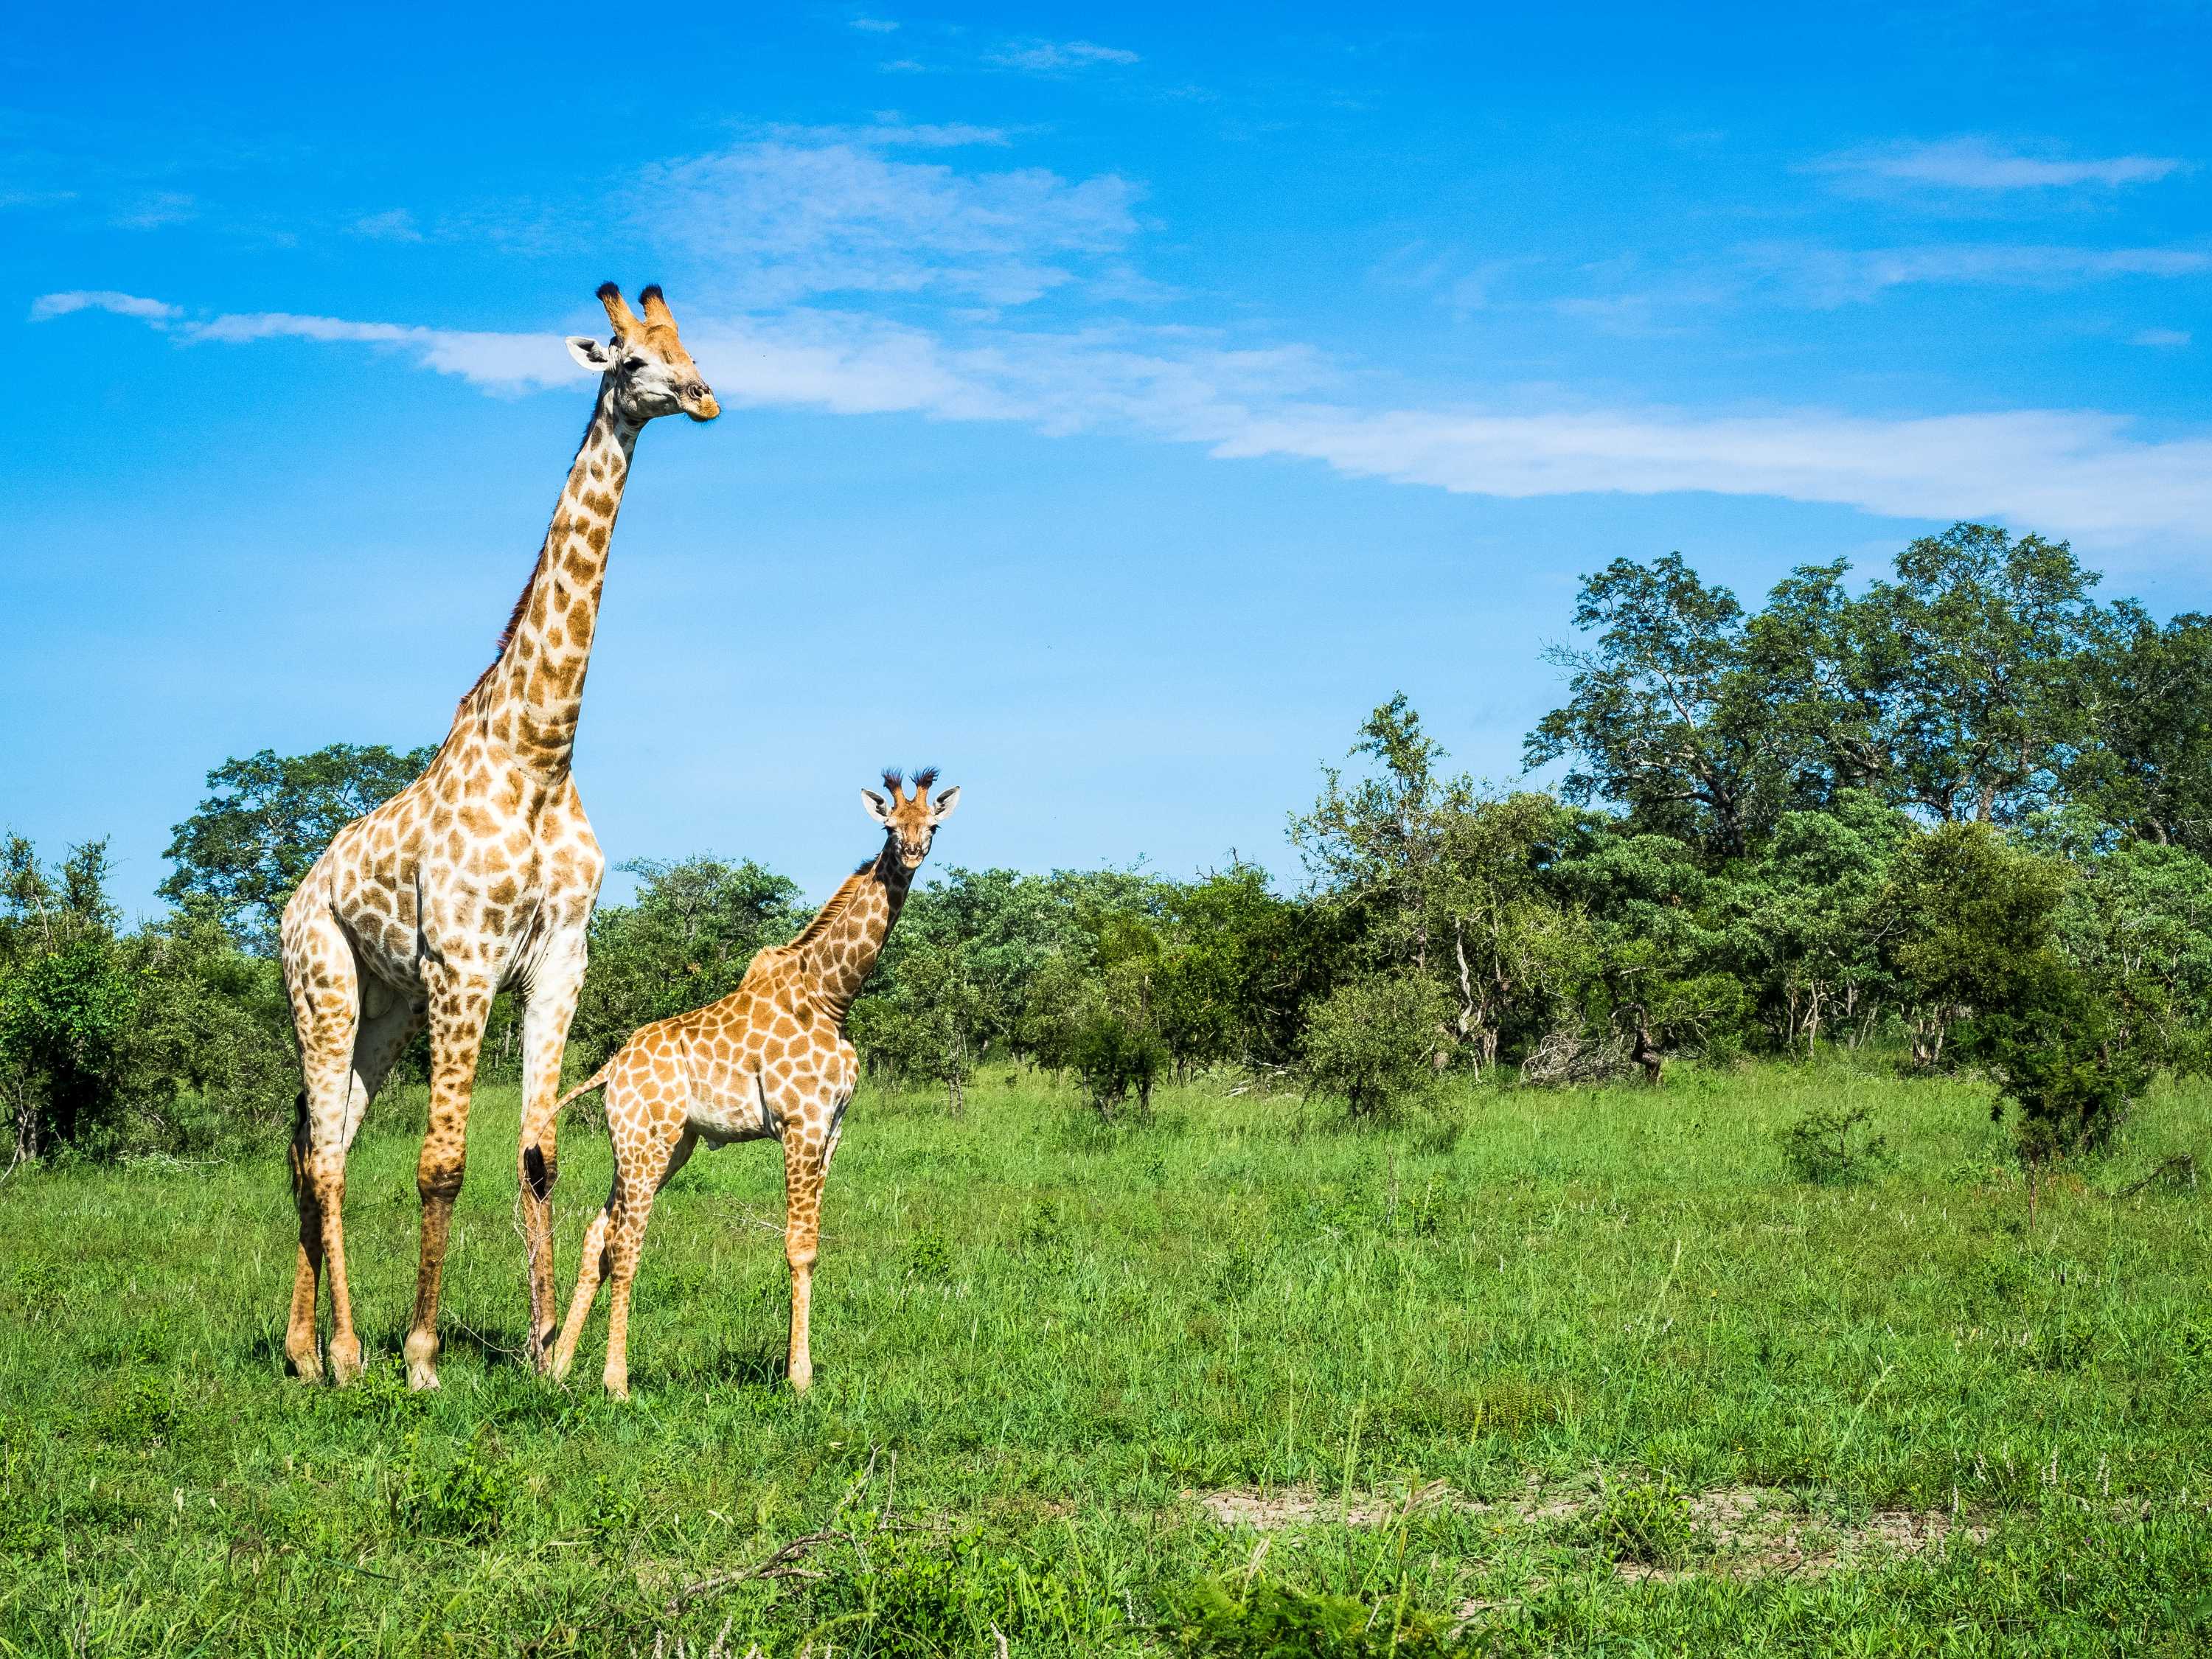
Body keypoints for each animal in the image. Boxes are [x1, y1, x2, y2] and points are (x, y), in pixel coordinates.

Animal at [278, 283, 719, 1390]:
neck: (540, 753)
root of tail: (291, 902)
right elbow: (442, 1163)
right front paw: (424, 1355)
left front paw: (543, 1350)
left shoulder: (559, 958)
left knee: (318, 1141)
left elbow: (538, 1154)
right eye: (631, 359)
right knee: (330, 1155)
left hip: (383, 1006)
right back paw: (348, 1350)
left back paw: (304, 1349)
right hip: (324, 984)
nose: (704, 398)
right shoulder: (465, 963)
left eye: (691, 348)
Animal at [548, 769, 961, 1399]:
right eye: (890, 827)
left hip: (660, 1144)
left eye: (932, 825)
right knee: (626, 1242)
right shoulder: (801, 1122)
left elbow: (811, 1246)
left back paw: (557, 1368)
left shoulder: (832, 1131)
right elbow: (798, 1247)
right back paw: (615, 1382)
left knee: (599, 1232)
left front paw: (797, 1368)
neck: (832, 996)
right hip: (647, 1141)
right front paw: (800, 1379)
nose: (913, 853)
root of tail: (610, 1069)